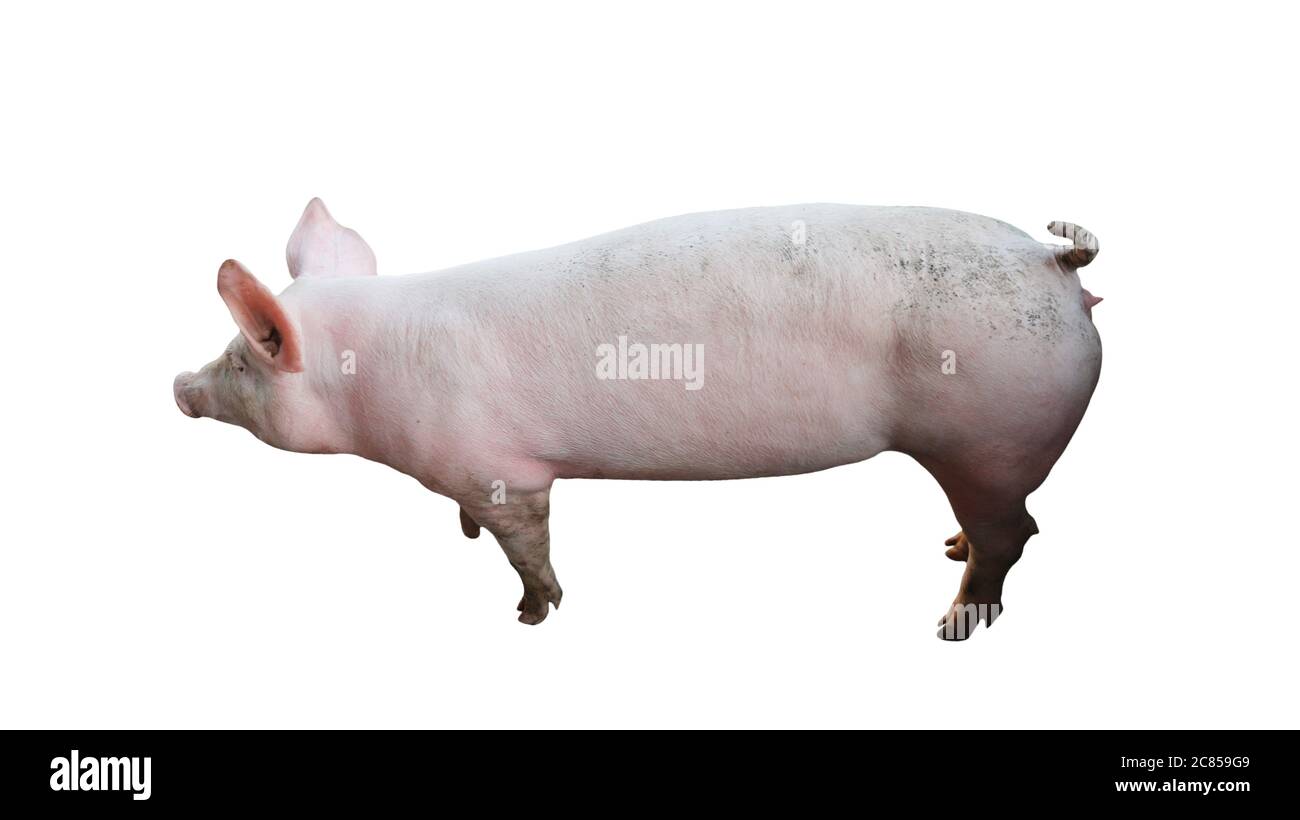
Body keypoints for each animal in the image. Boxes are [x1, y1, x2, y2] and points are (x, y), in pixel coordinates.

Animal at [174, 199, 1102, 639]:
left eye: (242, 359)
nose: (179, 383)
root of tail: (1050, 259)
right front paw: (465, 539)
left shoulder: (503, 472)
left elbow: (528, 545)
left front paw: (531, 616)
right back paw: (948, 547)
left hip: (995, 433)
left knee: (1018, 533)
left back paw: (951, 624)